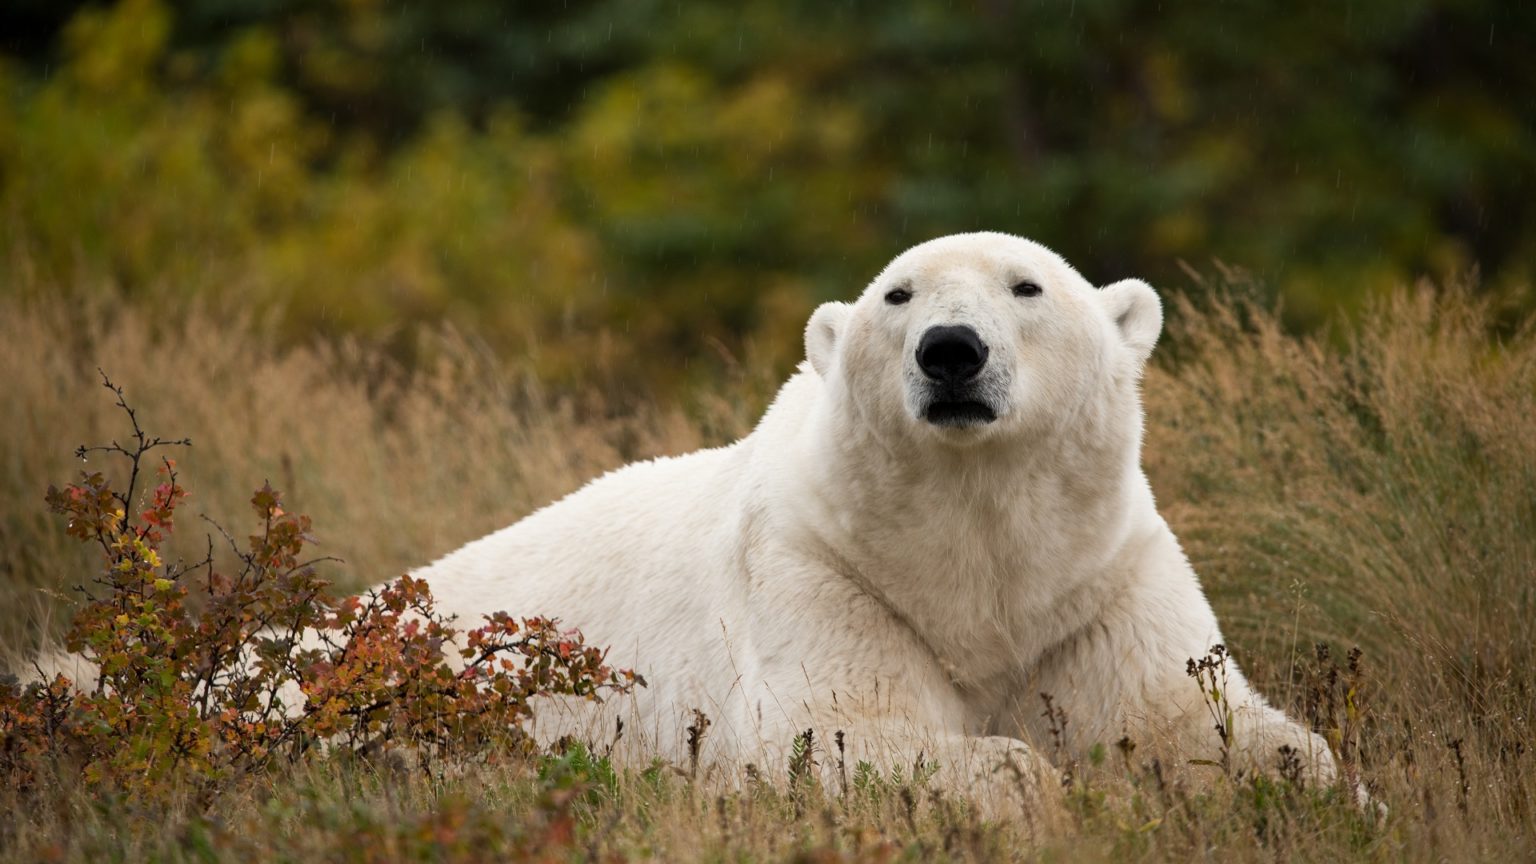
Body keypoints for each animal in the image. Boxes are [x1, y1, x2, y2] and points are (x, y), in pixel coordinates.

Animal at [413, 231, 1338, 814]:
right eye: (898, 294)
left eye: (1026, 285)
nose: (951, 348)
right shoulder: (823, 570)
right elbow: (833, 731)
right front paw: (1041, 795)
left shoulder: (1098, 585)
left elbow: (1191, 713)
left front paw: (1312, 786)